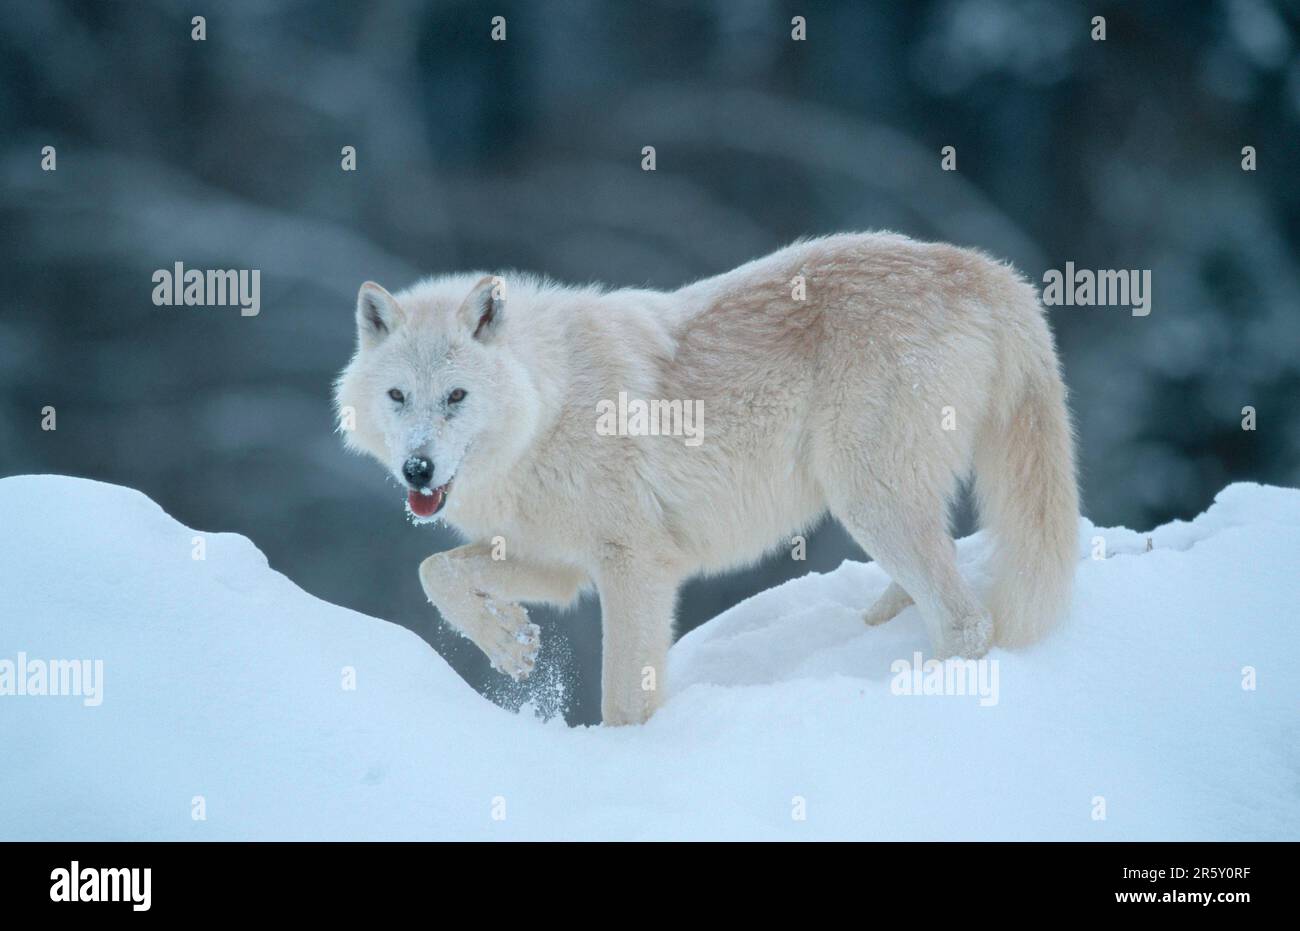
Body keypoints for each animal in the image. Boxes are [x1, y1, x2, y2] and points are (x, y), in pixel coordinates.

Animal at [334, 232, 1078, 725]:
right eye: (398, 396)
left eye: (456, 396)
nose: (418, 468)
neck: (549, 404)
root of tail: (989, 271)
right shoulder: (560, 563)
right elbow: (436, 572)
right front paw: (510, 642)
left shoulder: (635, 562)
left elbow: (625, 698)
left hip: (867, 500)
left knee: (968, 623)